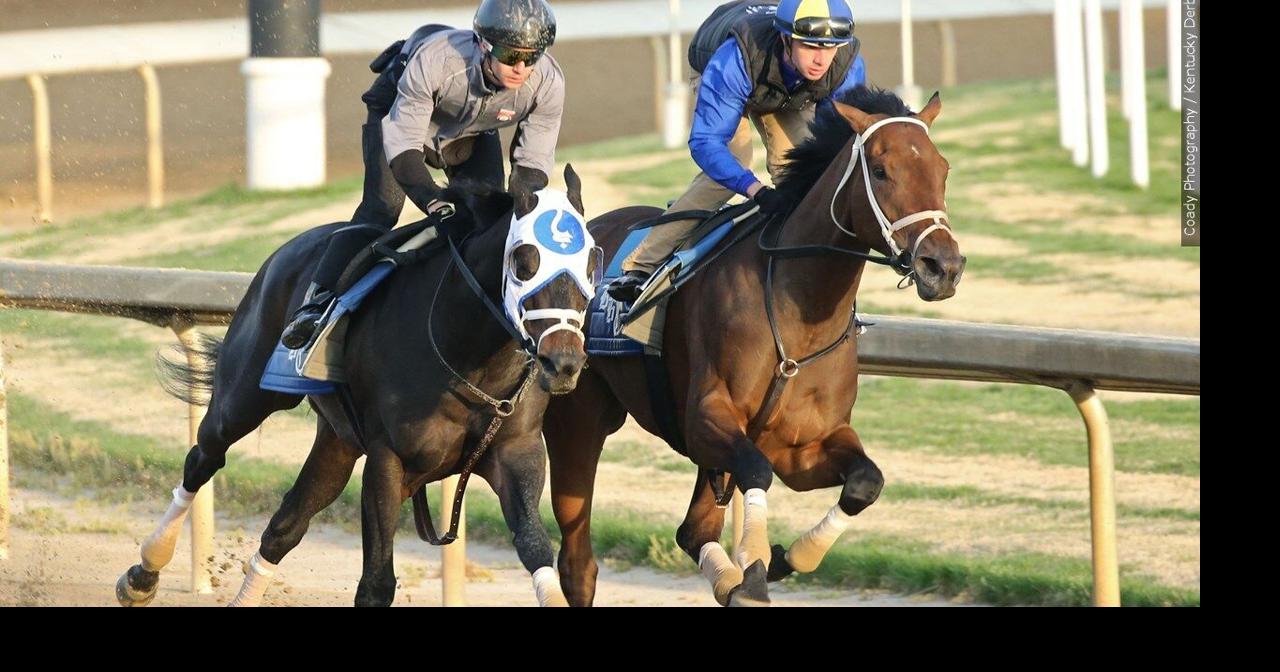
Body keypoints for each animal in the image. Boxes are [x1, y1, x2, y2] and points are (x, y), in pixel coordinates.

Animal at [116, 166, 601, 607]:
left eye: (592, 261)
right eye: (523, 260)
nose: (563, 362)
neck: (469, 357)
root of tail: (288, 249)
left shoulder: (516, 452)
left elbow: (536, 550)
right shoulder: (388, 460)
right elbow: (376, 584)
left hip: (338, 442)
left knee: (285, 526)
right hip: (246, 396)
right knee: (204, 458)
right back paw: (143, 573)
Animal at [543, 88, 966, 606]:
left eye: (942, 168)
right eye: (883, 170)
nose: (942, 267)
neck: (799, 315)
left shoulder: (804, 445)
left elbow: (866, 481)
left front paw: (786, 558)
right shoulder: (707, 418)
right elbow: (757, 471)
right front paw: (755, 570)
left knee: (694, 530)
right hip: (576, 420)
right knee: (578, 561)